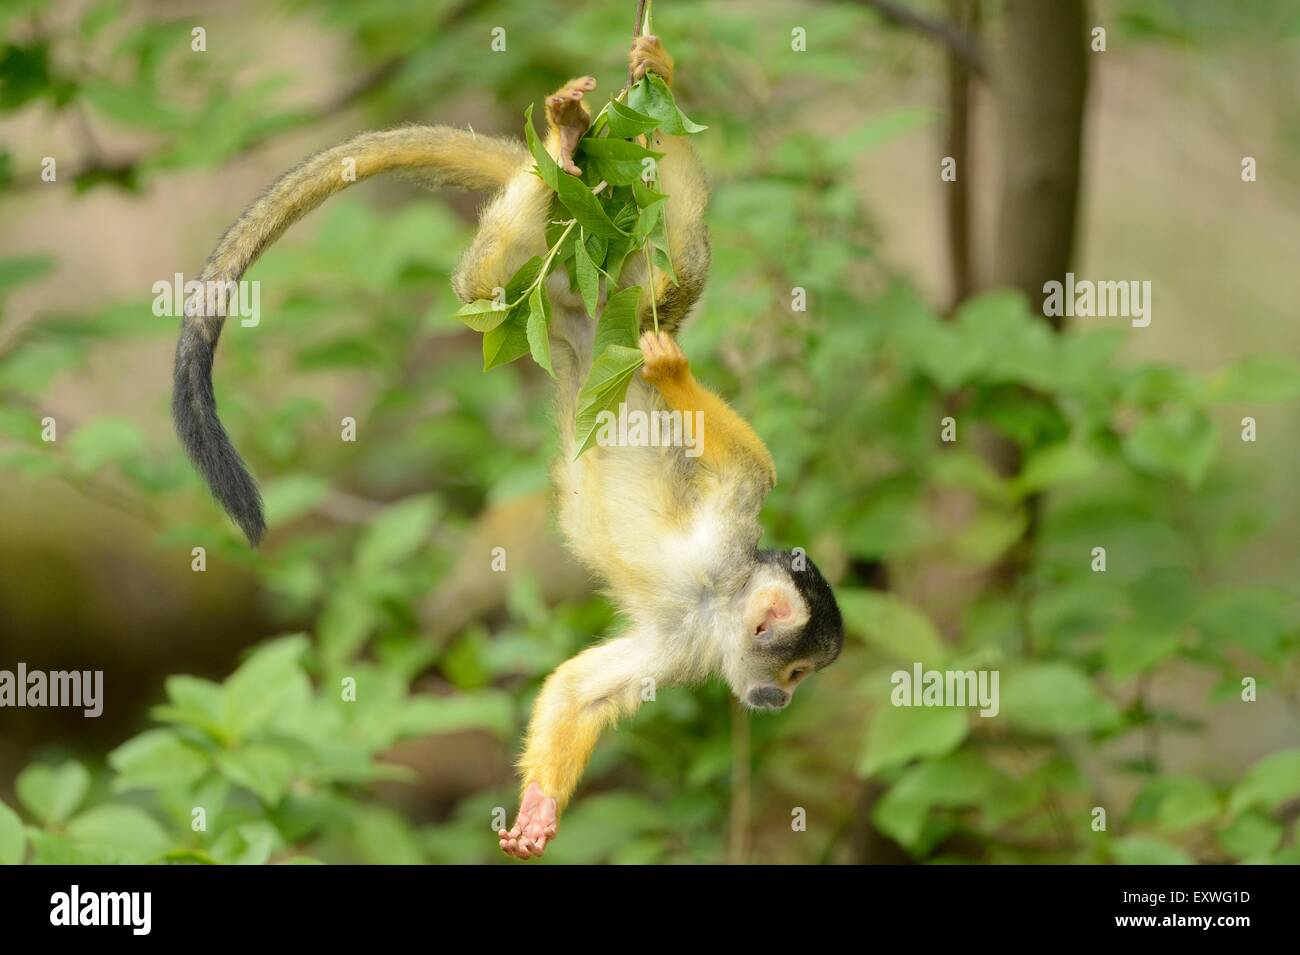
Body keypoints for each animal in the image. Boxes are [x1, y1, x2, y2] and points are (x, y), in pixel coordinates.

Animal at [171, 34, 843, 862]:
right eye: (800, 666)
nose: (780, 698)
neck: (718, 602)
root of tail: (590, 307)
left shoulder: (688, 647)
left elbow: (580, 686)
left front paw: (538, 809)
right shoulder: (724, 540)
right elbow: (759, 468)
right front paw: (673, 373)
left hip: (560, 308)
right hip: (591, 300)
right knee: (636, 276)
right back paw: (592, 128)